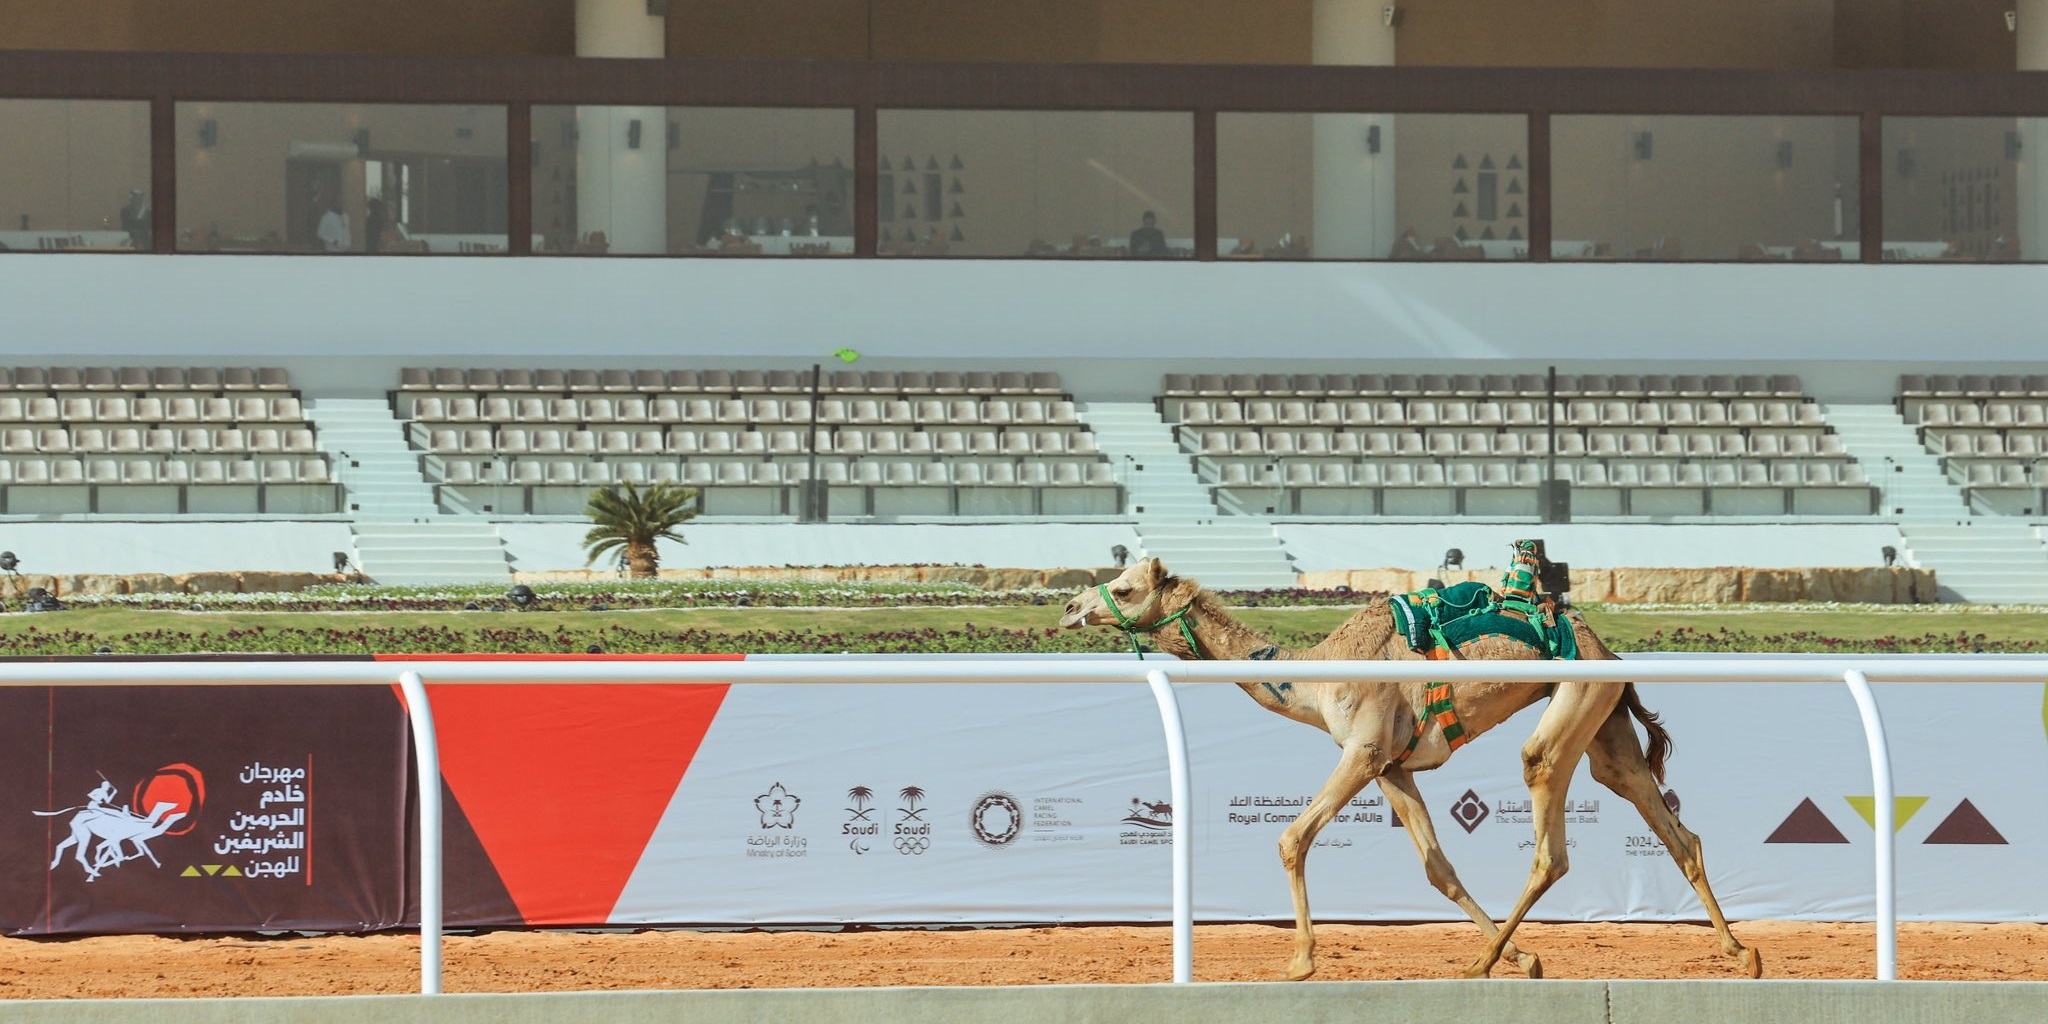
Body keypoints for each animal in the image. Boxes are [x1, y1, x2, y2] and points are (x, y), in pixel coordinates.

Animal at [1058, 554, 1760, 981]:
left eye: (1124, 588)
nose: (1068, 608)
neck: (1316, 678)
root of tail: (1607, 649)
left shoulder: (1363, 750)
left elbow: (1293, 838)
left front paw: (1302, 961)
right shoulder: (1394, 769)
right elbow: (1437, 869)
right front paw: (1526, 958)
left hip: (1575, 702)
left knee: (1549, 835)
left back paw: (1480, 965)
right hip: (1605, 723)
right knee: (1668, 823)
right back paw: (1740, 951)